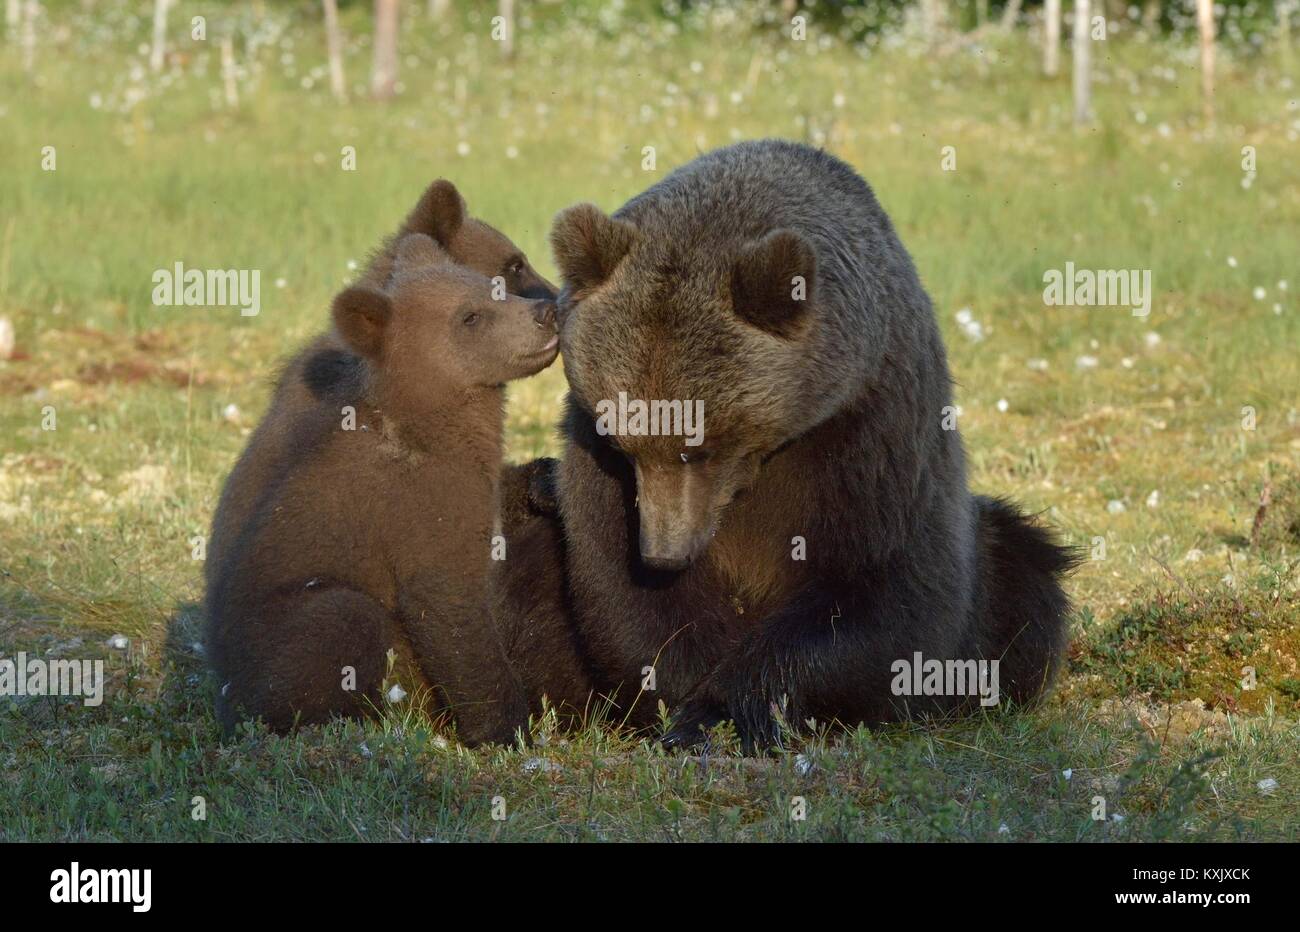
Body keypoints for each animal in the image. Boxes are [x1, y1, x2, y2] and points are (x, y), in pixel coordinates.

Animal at [204, 233, 559, 744]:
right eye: (470, 316)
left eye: (495, 286)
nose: (547, 312)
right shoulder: (413, 512)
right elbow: (452, 619)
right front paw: (508, 730)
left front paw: (544, 479)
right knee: (344, 617)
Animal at [496, 139, 1078, 750]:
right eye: (626, 443)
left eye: (700, 446)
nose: (663, 553)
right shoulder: (594, 453)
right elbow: (617, 587)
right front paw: (690, 703)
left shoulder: (870, 429)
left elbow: (888, 591)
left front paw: (733, 705)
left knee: (1024, 575)